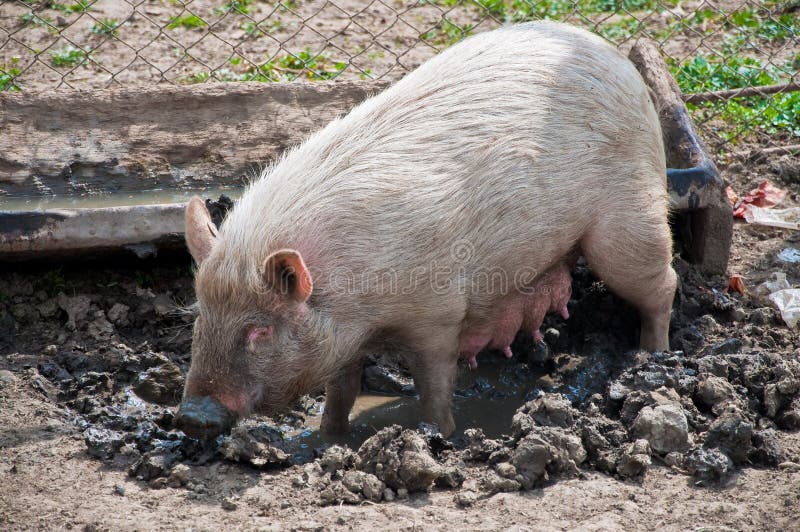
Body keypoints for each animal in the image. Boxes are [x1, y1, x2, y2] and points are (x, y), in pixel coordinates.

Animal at [175, 21, 677, 439]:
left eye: (259, 331)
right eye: (201, 316)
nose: (193, 415)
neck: (358, 304)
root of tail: (614, 57)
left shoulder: (437, 312)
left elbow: (433, 381)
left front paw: (442, 436)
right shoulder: (343, 337)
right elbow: (341, 389)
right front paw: (328, 439)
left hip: (629, 216)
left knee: (662, 284)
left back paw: (653, 357)